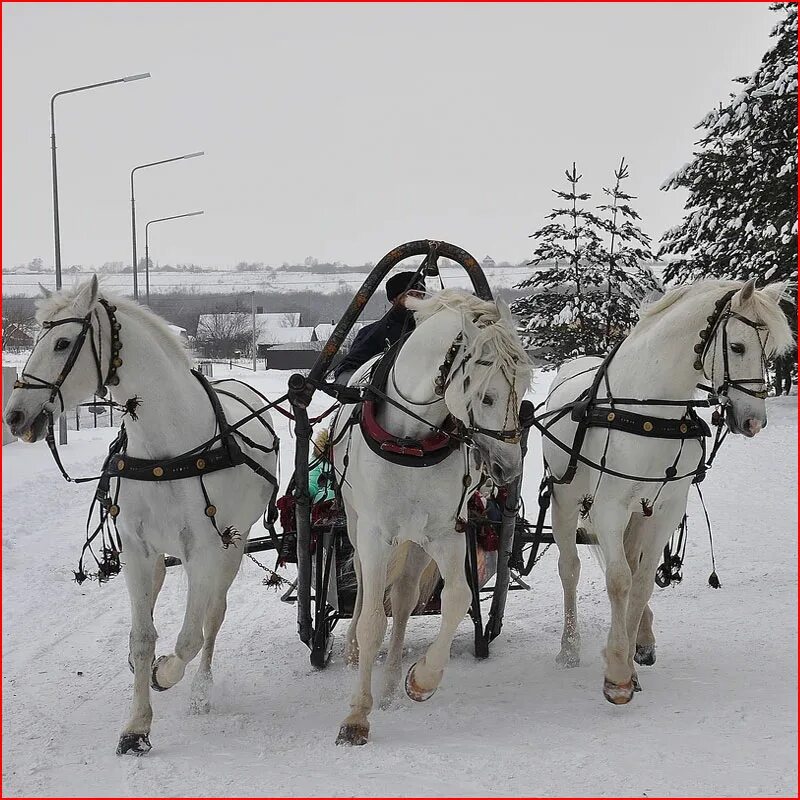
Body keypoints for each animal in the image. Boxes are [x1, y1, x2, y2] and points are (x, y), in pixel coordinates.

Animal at [3, 280, 278, 756]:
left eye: (62, 343)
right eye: (35, 338)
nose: (15, 415)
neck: (167, 452)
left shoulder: (206, 552)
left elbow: (189, 637)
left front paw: (165, 673)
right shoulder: (137, 548)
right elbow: (143, 636)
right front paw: (136, 725)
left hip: (234, 545)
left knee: (213, 616)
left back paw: (201, 690)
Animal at [332, 290, 532, 748]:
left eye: (522, 392)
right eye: (487, 396)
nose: (509, 468)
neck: (410, 441)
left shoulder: (444, 531)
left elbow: (458, 598)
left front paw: (421, 679)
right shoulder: (374, 534)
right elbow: (372, 618)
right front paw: (356, 715)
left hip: (416, 541)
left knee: (405, 599)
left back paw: (389, 686)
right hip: (356, 524)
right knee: (366, 590)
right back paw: (353, 651)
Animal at [544, 278, 792, 704]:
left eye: (769, 352)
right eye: (738, 347)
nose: (754, 422)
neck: (648, 411)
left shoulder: (665, 509)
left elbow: (641, 582)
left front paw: (628, 657)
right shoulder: (609, 507)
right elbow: (619, 579)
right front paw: (617, 673)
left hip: (638, 513)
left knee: (630, 564)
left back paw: (641, 639)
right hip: (565, 502)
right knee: (570, 568)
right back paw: (569, 647)